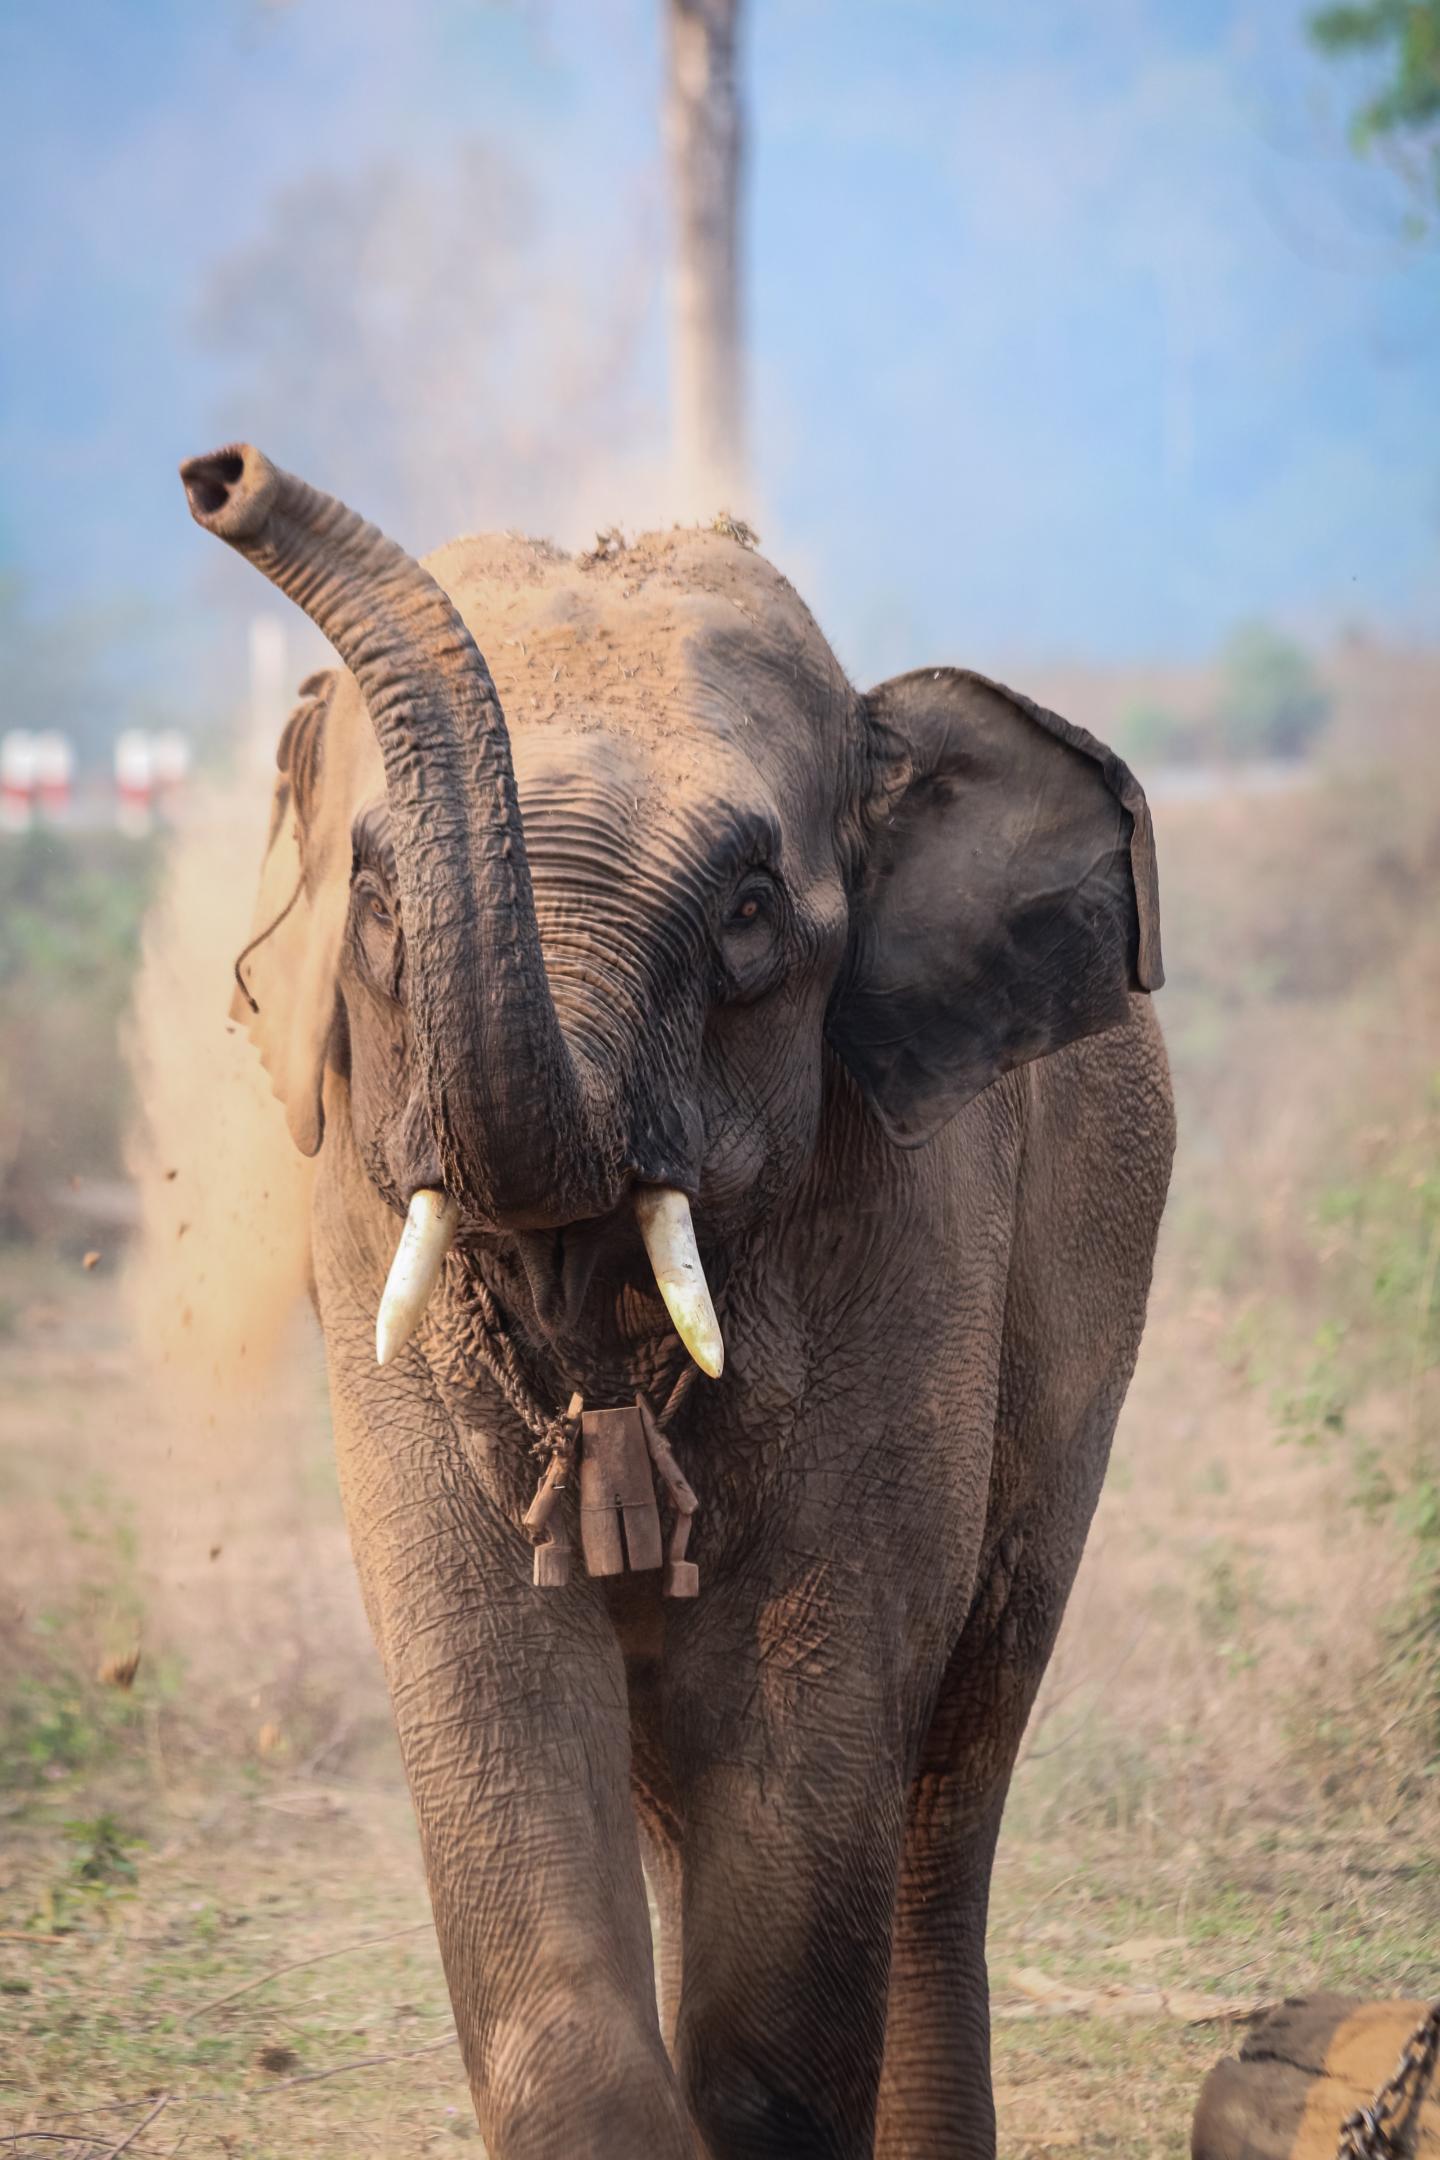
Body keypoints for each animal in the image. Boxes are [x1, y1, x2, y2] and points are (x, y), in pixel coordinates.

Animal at [180, 442, 1174, 2160]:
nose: (219, 474)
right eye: (374, 896)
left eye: (753, 911)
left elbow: (809, 1712)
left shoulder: (907, 1218)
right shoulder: (355, 1215)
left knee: (949, 1783)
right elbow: (490, 1678)